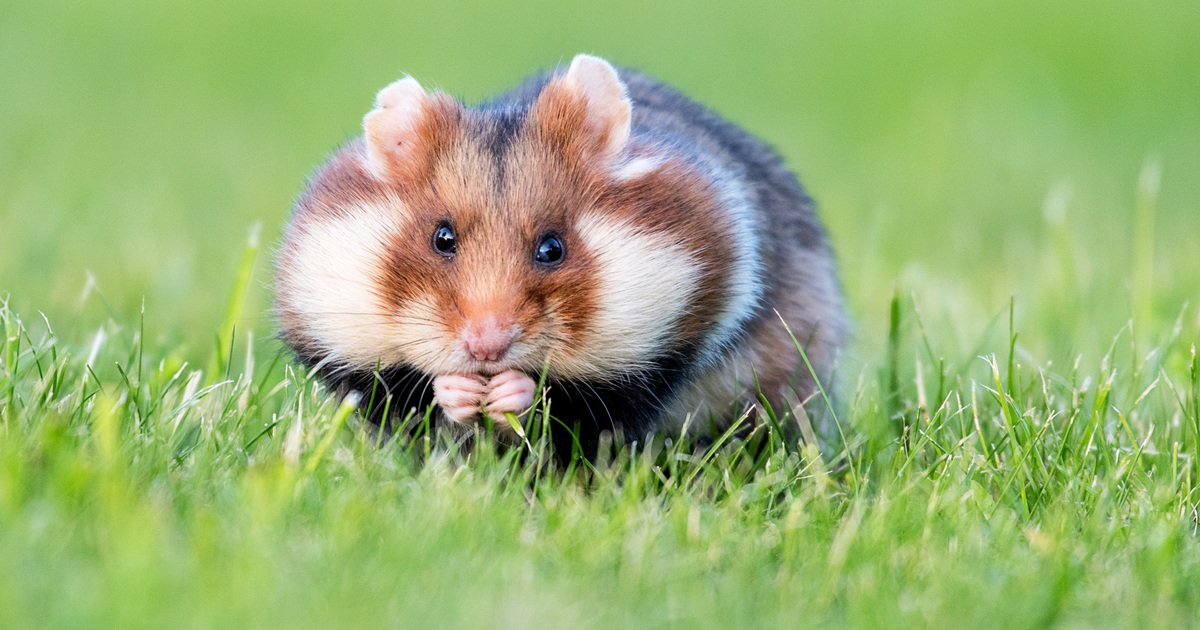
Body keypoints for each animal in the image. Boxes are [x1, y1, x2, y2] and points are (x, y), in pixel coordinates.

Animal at [274, 54, 848, 456]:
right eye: (442, 238)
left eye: (552, 247)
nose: (487, 348)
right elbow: (402, 396)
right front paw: (458, 390)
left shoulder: (660, 352)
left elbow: (580, 401)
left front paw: (509, 390)